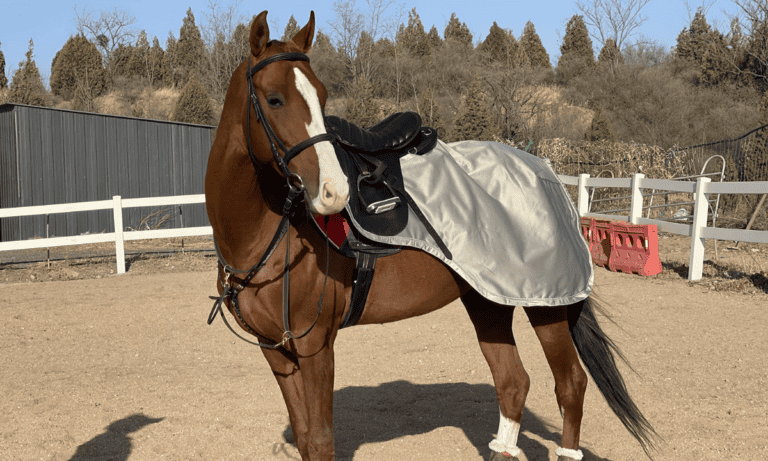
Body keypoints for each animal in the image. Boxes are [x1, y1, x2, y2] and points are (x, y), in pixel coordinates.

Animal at [204, 10, 657, 461]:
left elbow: (319, 440)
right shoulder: (277, 351)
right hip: (489, 301)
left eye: (322, 95)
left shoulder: (316, 346)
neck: (264, 236)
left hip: (546, 306)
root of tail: (543, 170)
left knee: (570, 385)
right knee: (513, 383)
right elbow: (304, 438)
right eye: (274, 99)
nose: (333, 192)